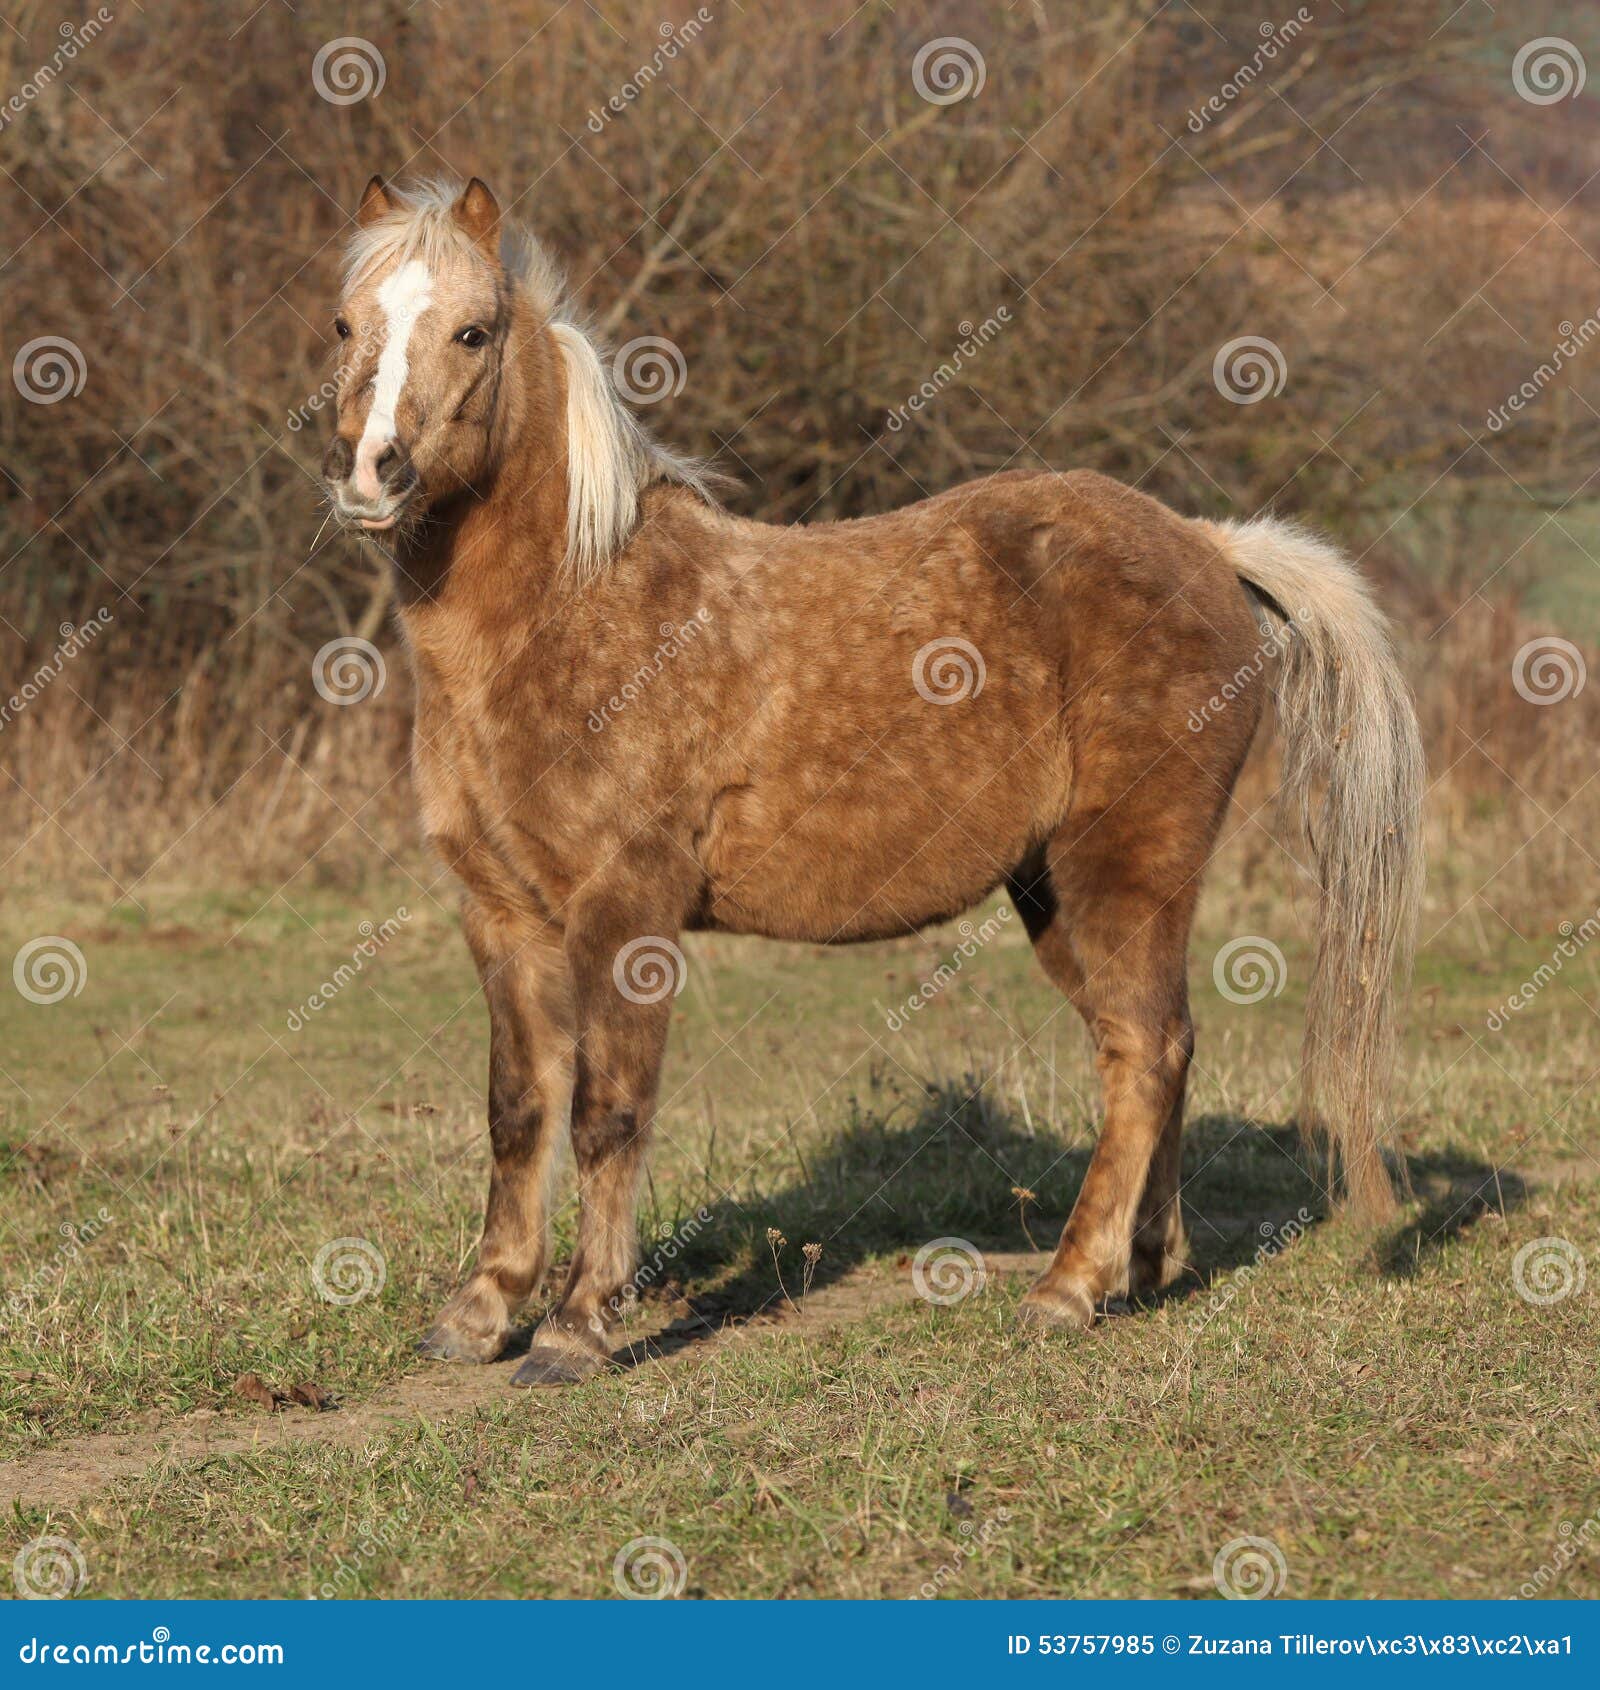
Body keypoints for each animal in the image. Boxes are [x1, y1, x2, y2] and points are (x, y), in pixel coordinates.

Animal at [319, 175, 1424, 1386]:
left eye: (473, 331)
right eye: (345, 325)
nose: (370, 472)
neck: (574, 608)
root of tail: (1207, 545)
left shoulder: (625, 911)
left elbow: (608, 1112)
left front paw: (573, 1328)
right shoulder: (503, 916)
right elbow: (518, 1111)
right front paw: (478, 1314)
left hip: (1125, 870)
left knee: (1143, 1053)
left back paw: (1064, 1291)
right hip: (1056, 895)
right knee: (1158, 1047)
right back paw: (1140, 1268)